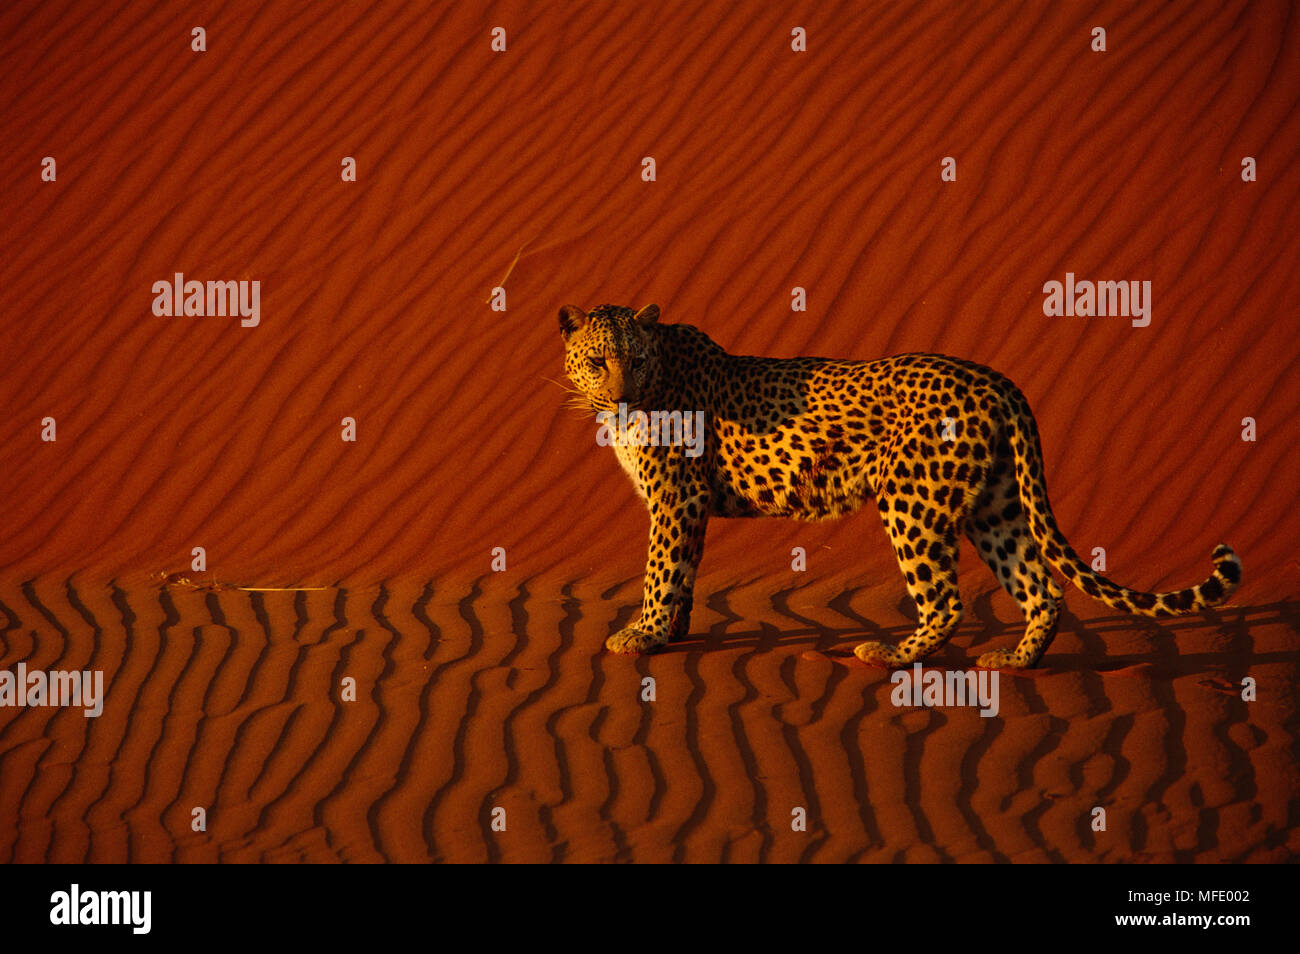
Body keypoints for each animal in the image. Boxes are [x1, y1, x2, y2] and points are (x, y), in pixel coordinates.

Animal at [558, 302, 1242, 669]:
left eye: (636, 359)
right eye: (598, 360)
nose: (620, 394)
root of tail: (998, 380)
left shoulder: (678, 497)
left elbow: (661, 569)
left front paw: (640, 635)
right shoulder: (690, 504)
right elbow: (684, 573)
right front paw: (671, 633)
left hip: (912, 503)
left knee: (945, 599)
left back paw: (890, 655)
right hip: (995, 507)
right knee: (1042, 588)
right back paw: (1016, 661)